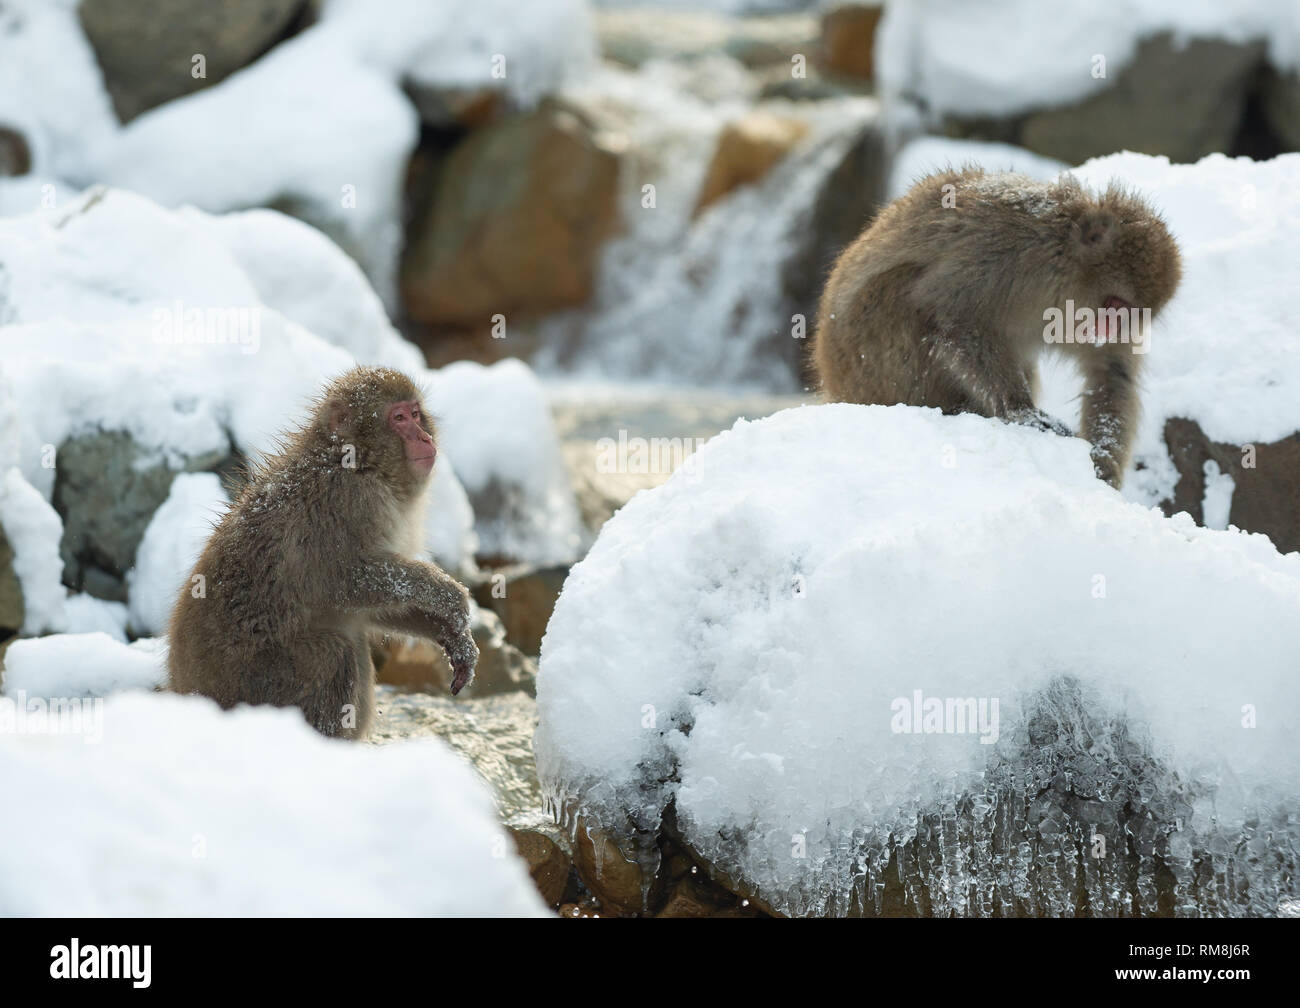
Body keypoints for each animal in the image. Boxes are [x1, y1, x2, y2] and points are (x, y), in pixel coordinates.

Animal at [167, 366, 478, 740]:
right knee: (335, 653)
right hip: (254, 683)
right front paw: (449, 596)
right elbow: (341, 582)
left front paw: (454, 636)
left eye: (416, 414)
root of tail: (183, 688)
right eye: (399, 418)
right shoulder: (348, 501)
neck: (358, 462)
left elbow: (371, 608)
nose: (424, 438)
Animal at [812, 167, 1181, 487]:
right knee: (905, 291)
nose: (1109, 329)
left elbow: (1111, 375)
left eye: (1129, 315)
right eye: (1114, 305)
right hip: (867, 362)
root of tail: (835, 382)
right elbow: (954, 316)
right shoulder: (1009, 251)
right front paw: (1021, 410)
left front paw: (1102, 469)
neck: (1064, 268)